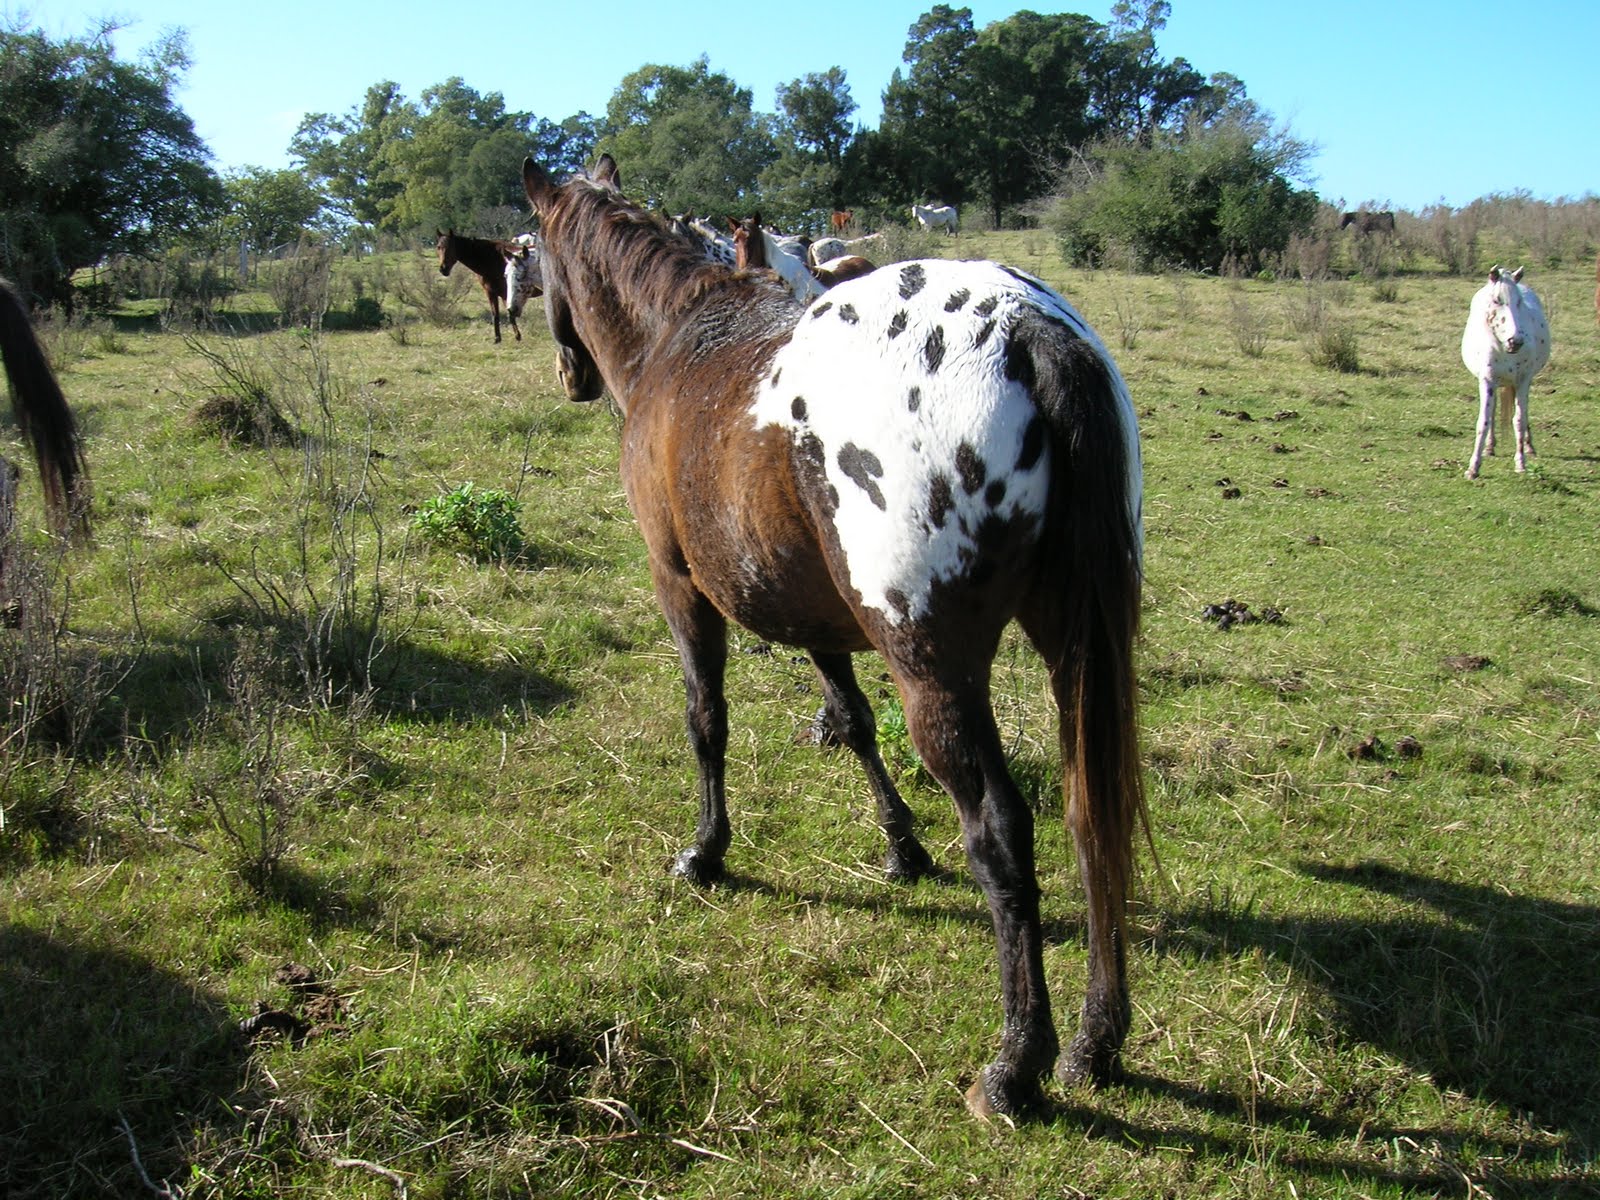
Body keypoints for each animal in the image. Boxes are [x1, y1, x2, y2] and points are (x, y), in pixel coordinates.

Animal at [522, 154, 1146, 1121]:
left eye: (537, 263)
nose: (569, 376)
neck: (677, 338)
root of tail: (1025, 334)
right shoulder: (809, 605)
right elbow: (851, 723)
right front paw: (900, 847)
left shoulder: (681, 589)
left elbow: (706, 721)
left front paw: (707, 850)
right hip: (1072, 651)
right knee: (1089, 811)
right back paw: (1095, 1041)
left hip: (935, 675)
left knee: (1003, 833)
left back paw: (1017, 1063)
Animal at [1461, 265, 1550, 479]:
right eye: (1496, 300)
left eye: (1519, 302)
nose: (1515, 341)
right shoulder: (1487, 380)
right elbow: (1484, 422)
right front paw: (1473, 467)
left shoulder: (1523, 380)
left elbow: (1519, 419)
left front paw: (1521, 463)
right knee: (1492, 413)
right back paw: (1489, 447)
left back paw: (1529, 446)